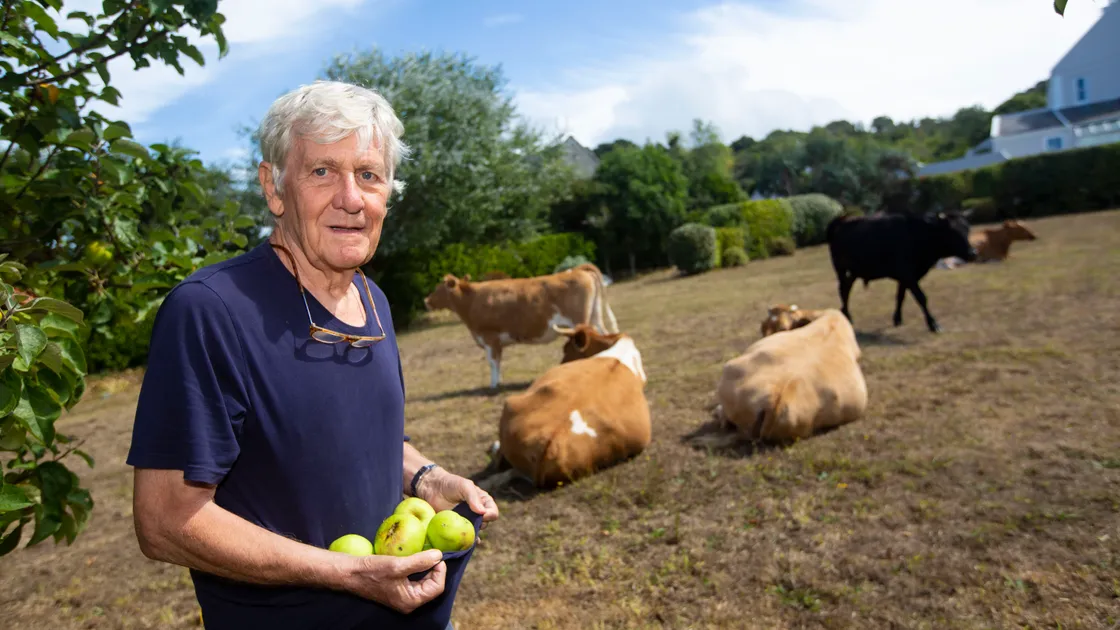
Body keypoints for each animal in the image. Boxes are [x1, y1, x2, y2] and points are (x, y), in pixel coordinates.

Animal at [423, 264, 620, 389]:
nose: (426, 300)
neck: (471, 301)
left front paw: (493, 385)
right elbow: (498, 361)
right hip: (594, 317)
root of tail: (576, 269)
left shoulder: (489, 337)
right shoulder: (496, 341)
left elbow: (492, 362)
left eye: (438, 288)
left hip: (580, 320)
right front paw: (499, 382)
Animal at [826, 210, 978, 333]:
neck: (918, 236)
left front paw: (897, 319)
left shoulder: (905, 277)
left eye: (967, 228)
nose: (973, 253)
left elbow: (900, 296)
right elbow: (921, 297)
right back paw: (847, 316)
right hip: (840, 268)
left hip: (854, 271)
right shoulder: (908, 275)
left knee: (847, 289)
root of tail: (842, 220)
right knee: (843, 290)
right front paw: (933, 324)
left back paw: (845, 314)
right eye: (953, 232)